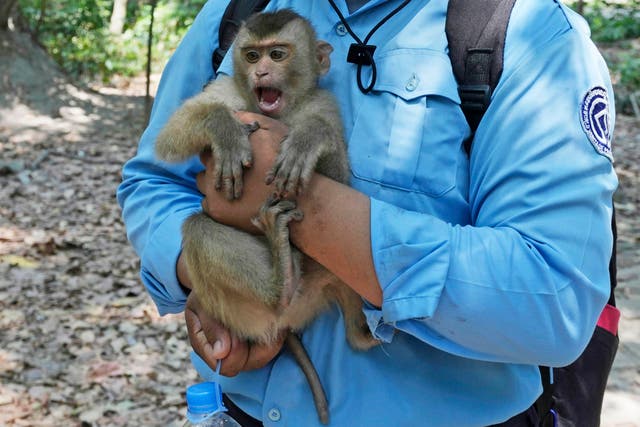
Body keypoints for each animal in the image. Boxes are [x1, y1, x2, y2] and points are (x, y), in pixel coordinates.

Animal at [155, 9, 378, 425]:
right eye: (251, 56)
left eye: (277, 54)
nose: (260, 73)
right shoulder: (228, 91)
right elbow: (173, 134)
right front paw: (224, 130)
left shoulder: (324, 103)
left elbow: (339, 180)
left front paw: (309, 137)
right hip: (246, 314)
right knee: (197, 227)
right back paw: (281, 282)